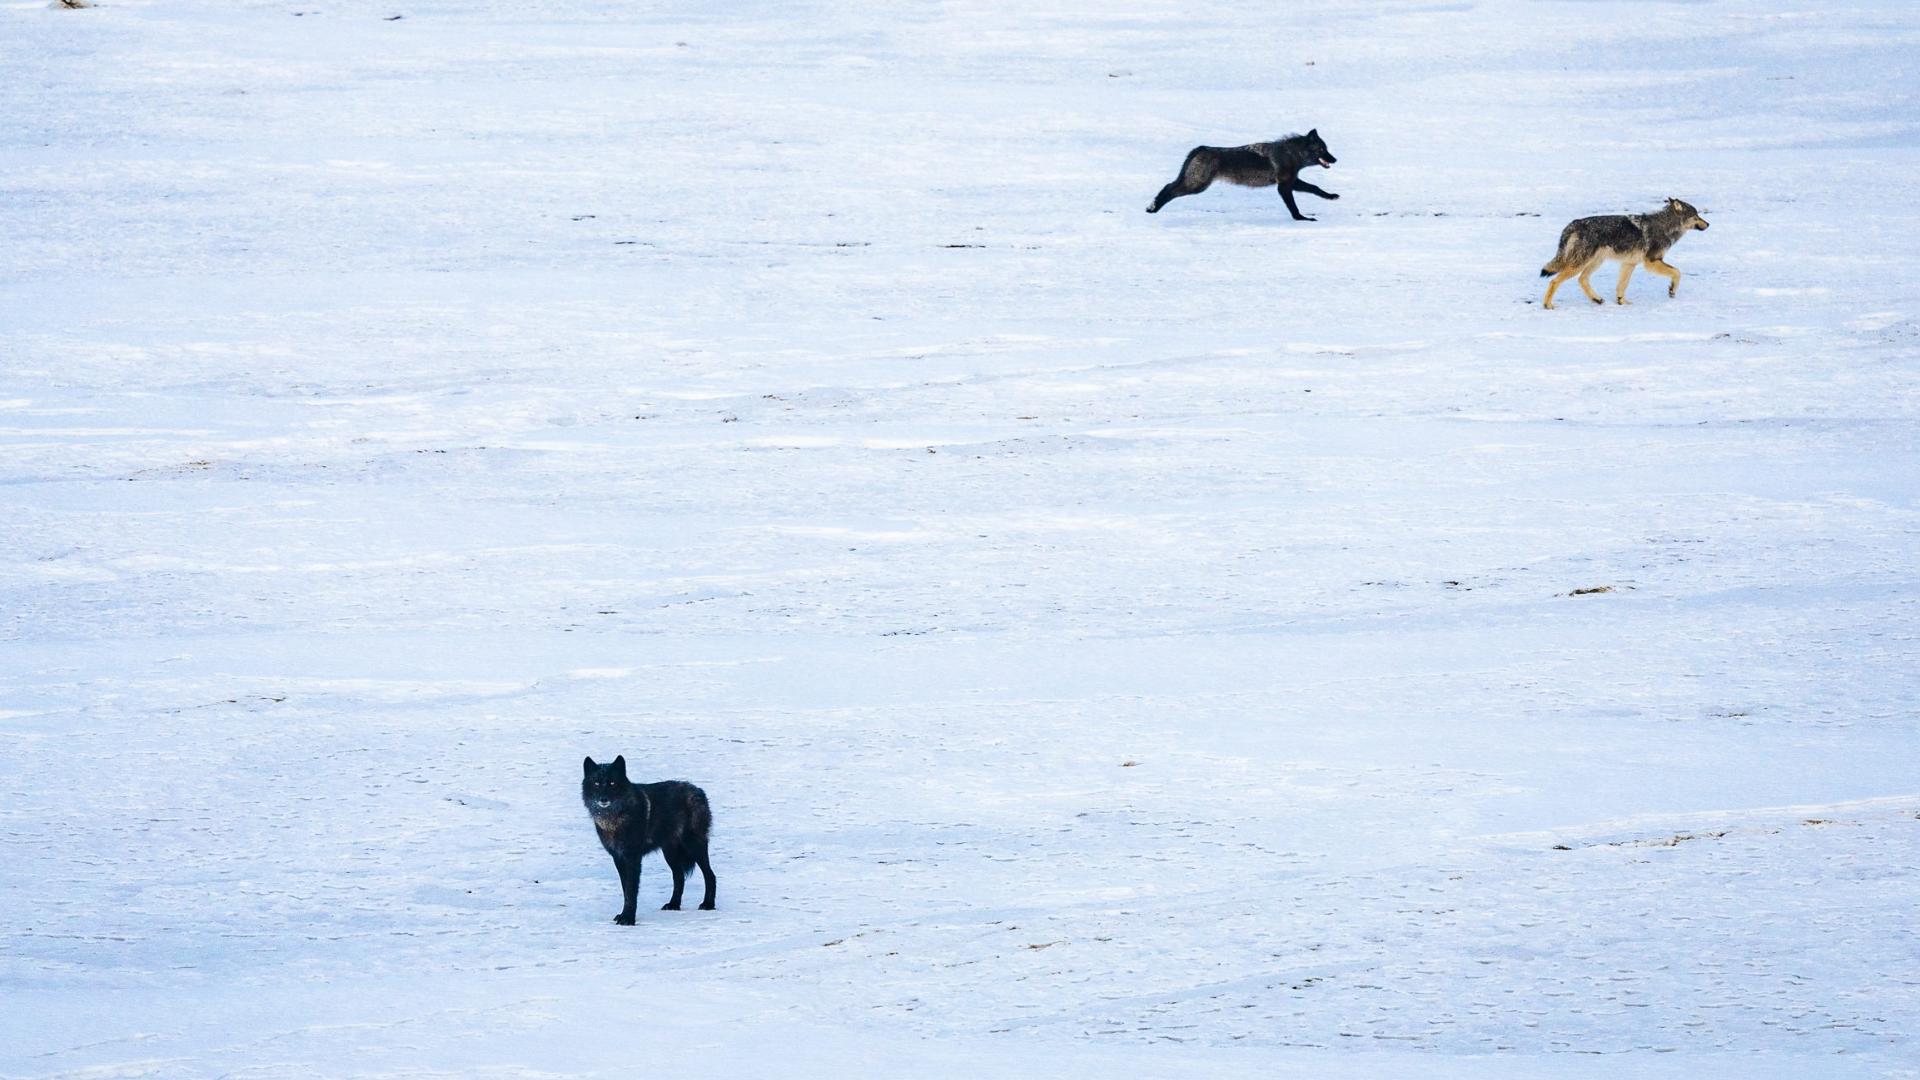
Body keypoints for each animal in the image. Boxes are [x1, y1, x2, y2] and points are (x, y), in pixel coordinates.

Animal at [582, 755, 717, 924]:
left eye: (612, 783)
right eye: (596, 783)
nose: (603, 799)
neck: (615, 818)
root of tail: (698, 790)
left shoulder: (632, 858)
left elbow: (631, 891)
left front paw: (628, 919)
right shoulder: (618, 858)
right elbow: (625, 890)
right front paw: (624, 915)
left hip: (694, 847)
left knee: (710, 875)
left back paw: (708, 904)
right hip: (670, 853)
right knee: (679, 877)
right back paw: (673, 904)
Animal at [1146, 130, 1338, 218]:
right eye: (1322, 149)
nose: (1335, 159)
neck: (1292, 154)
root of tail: (1200, 148)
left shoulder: (1292, 182)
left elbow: (1315, 188)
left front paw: (1331, 196)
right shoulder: (1283, 186)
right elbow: (1293, 206)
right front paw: (1300, 219)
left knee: (1168, 186)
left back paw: (1152, 207)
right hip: (1196, 185)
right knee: (1169, 189)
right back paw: (1153, 208)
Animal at [1540, 198, 1710, 309]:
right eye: (1696, 216)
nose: (1708, 224)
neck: (1665, 226)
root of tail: (1572, 224)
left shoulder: (1629, 264)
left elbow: (1622, 286)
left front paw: (1622, 302)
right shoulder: (1651, 262)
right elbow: (1677, 272)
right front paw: (1672, 290)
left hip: (1594, 263)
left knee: (1582, 279)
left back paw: (1597, 299)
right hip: (1580, 264)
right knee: (1554, 281)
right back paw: (1548, 305)